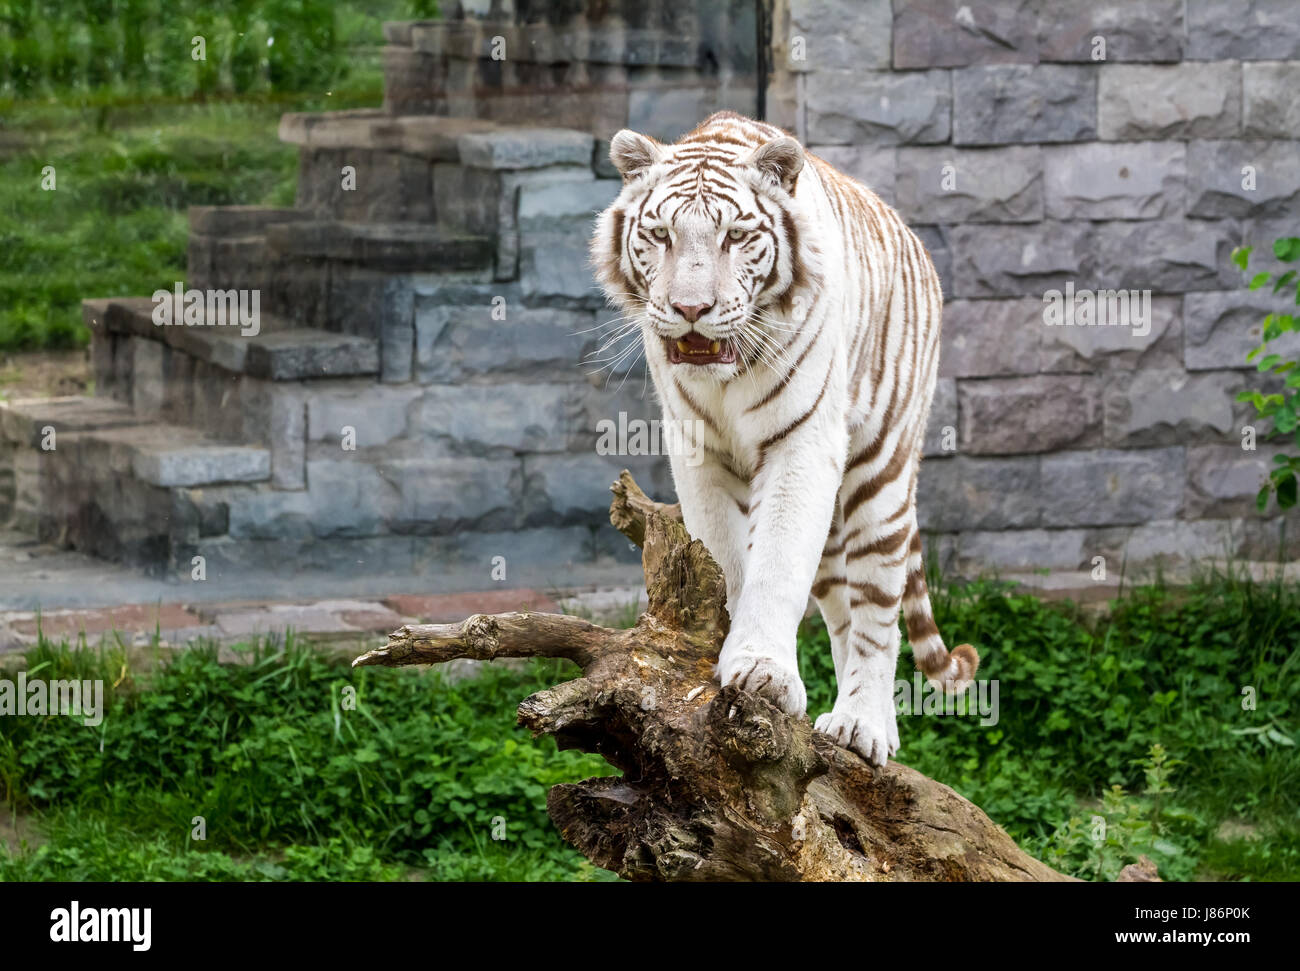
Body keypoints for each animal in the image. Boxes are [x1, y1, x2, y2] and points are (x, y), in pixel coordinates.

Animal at [590, 111, 979, 767]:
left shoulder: (804, 446)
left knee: (876, 613)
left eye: (734, 237)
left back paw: (865, 725)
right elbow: (730, 560)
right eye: (662, 236)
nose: (690, 308)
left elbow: (775, 564)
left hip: (881, 474)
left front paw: (761, 672)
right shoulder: (698, 454)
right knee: (842, 614)